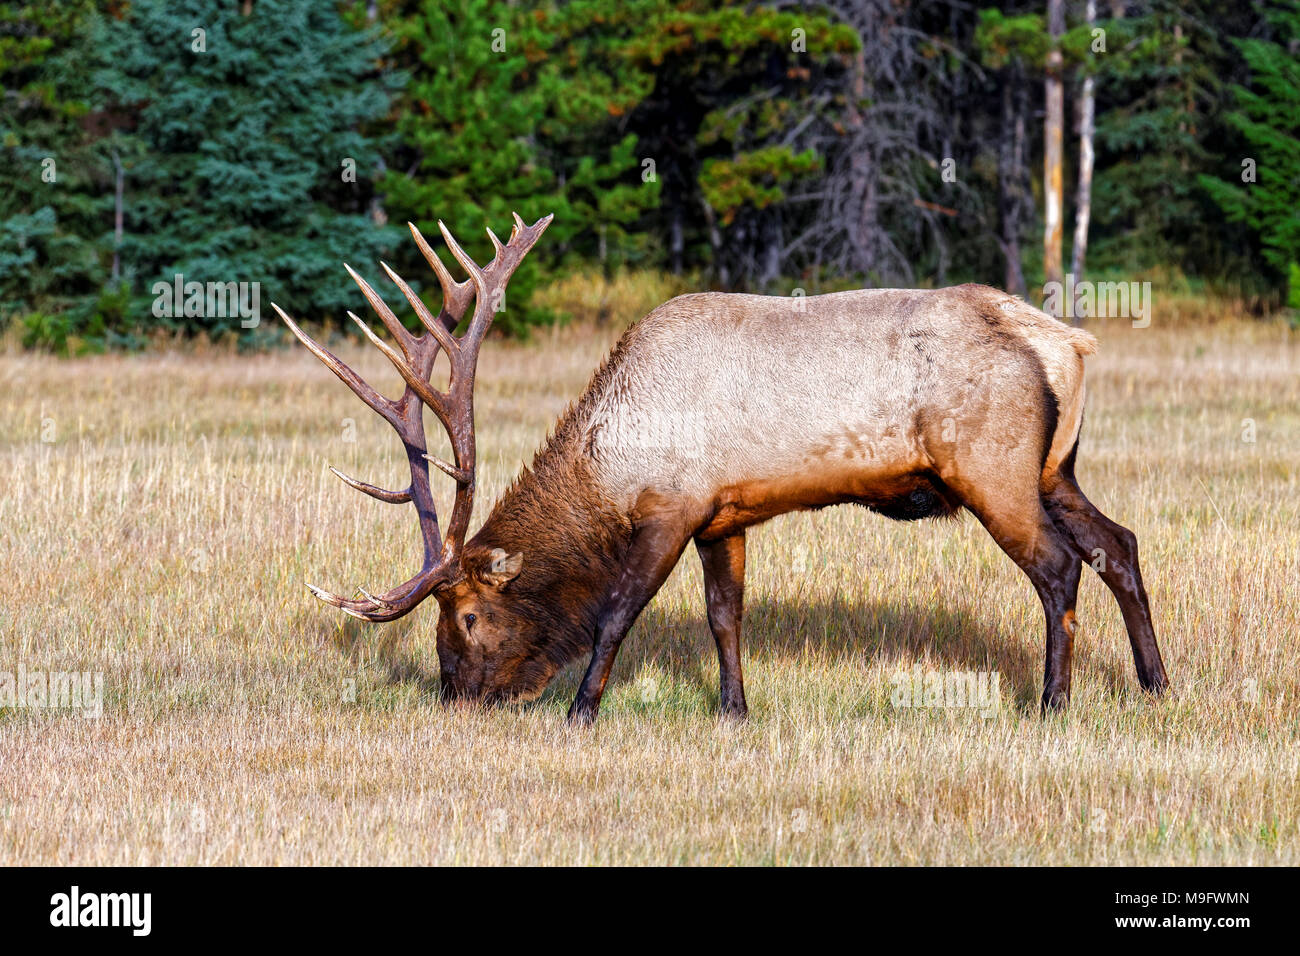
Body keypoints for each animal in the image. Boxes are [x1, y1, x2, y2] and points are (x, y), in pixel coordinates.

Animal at [275, 213, 1169, 725]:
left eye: (464, 617)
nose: (453, 696)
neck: (615, 452)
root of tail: (1066, 342)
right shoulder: (724, 517)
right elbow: (724, 615)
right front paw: (735, 710)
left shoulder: (673, 506)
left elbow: (616, 612)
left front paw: (581, 712)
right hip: (1054, 469)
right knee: (1118, 543)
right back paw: (1155, 684)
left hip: (992, 467)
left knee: (1058, 566)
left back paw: (1052, 704)